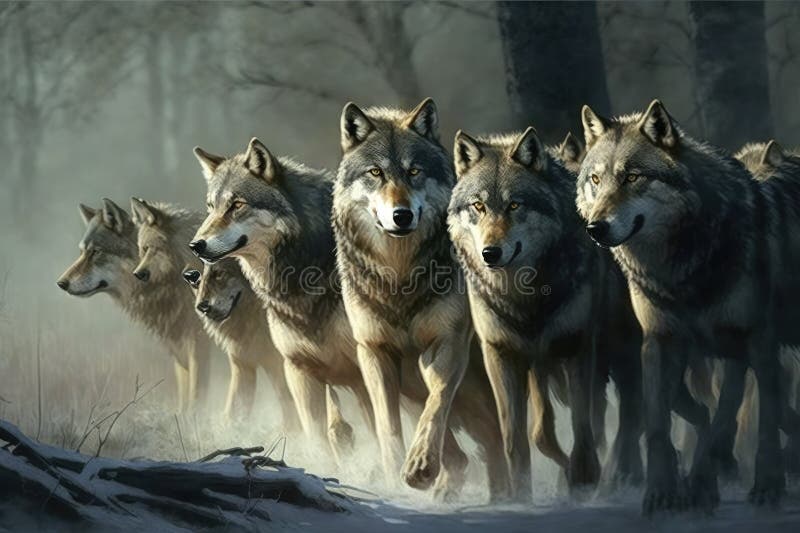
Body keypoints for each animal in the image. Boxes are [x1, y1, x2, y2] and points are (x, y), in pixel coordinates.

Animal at [57, 199, 211, 412]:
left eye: (96, 252)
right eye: (82, 252)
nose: (61, 283)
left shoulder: (200, 348)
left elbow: (197, 398)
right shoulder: (181, 351)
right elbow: (185, 398)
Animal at [333, 98, 510, 500]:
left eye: (414, 171)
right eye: (376, 172)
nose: (401, 215)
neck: (399, 277)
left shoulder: (446, 342)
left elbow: (437, 404)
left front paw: (420, 466)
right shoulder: (375, 351)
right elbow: (387, 426)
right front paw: (399, 473)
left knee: (492, 438)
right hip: (413, 383)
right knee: (466, 452)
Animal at [448, 127, 643, 499]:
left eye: (514, 205)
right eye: (479, 206)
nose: (490, 253)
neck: (524, 296)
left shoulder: (576, 347)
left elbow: (582, 426)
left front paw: (582, 479)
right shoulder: (502, 354)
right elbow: (519, 437)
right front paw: (520, 495)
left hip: (617, 351)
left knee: (626, 412)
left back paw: (621, 474)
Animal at [577, 99, 800, 513]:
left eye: (633, 178)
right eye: (596, 180)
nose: (595, 228)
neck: (680, 270)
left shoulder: (754, 340)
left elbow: (756, 422)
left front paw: (765, 486)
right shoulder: (659, 341)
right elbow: (661, 422)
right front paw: (663, 491)